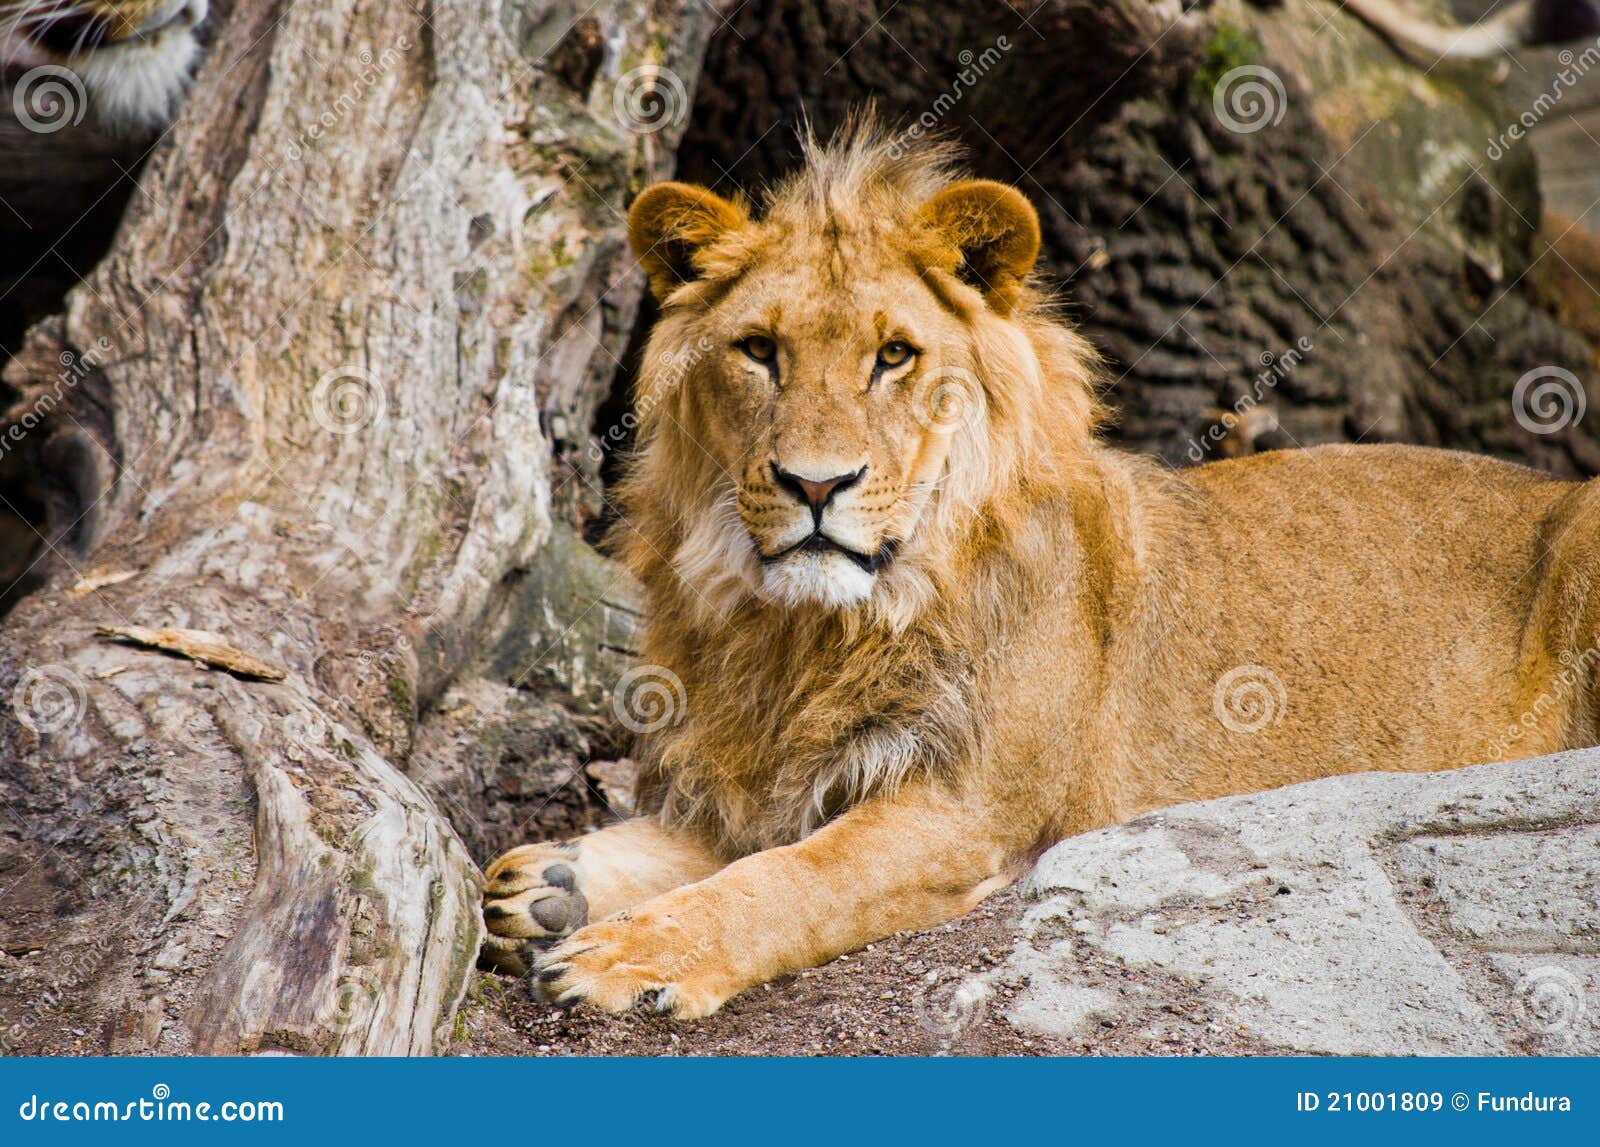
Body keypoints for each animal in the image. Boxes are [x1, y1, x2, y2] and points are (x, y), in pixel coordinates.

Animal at [481, 120, 1600, 1018]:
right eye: (757, 349)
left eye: (894, 355)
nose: (815, 484)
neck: (805, 630)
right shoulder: (765, 769)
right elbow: (717, 839)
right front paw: (552, 879)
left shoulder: (967, 810)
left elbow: (789, 879)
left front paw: (630, 950)